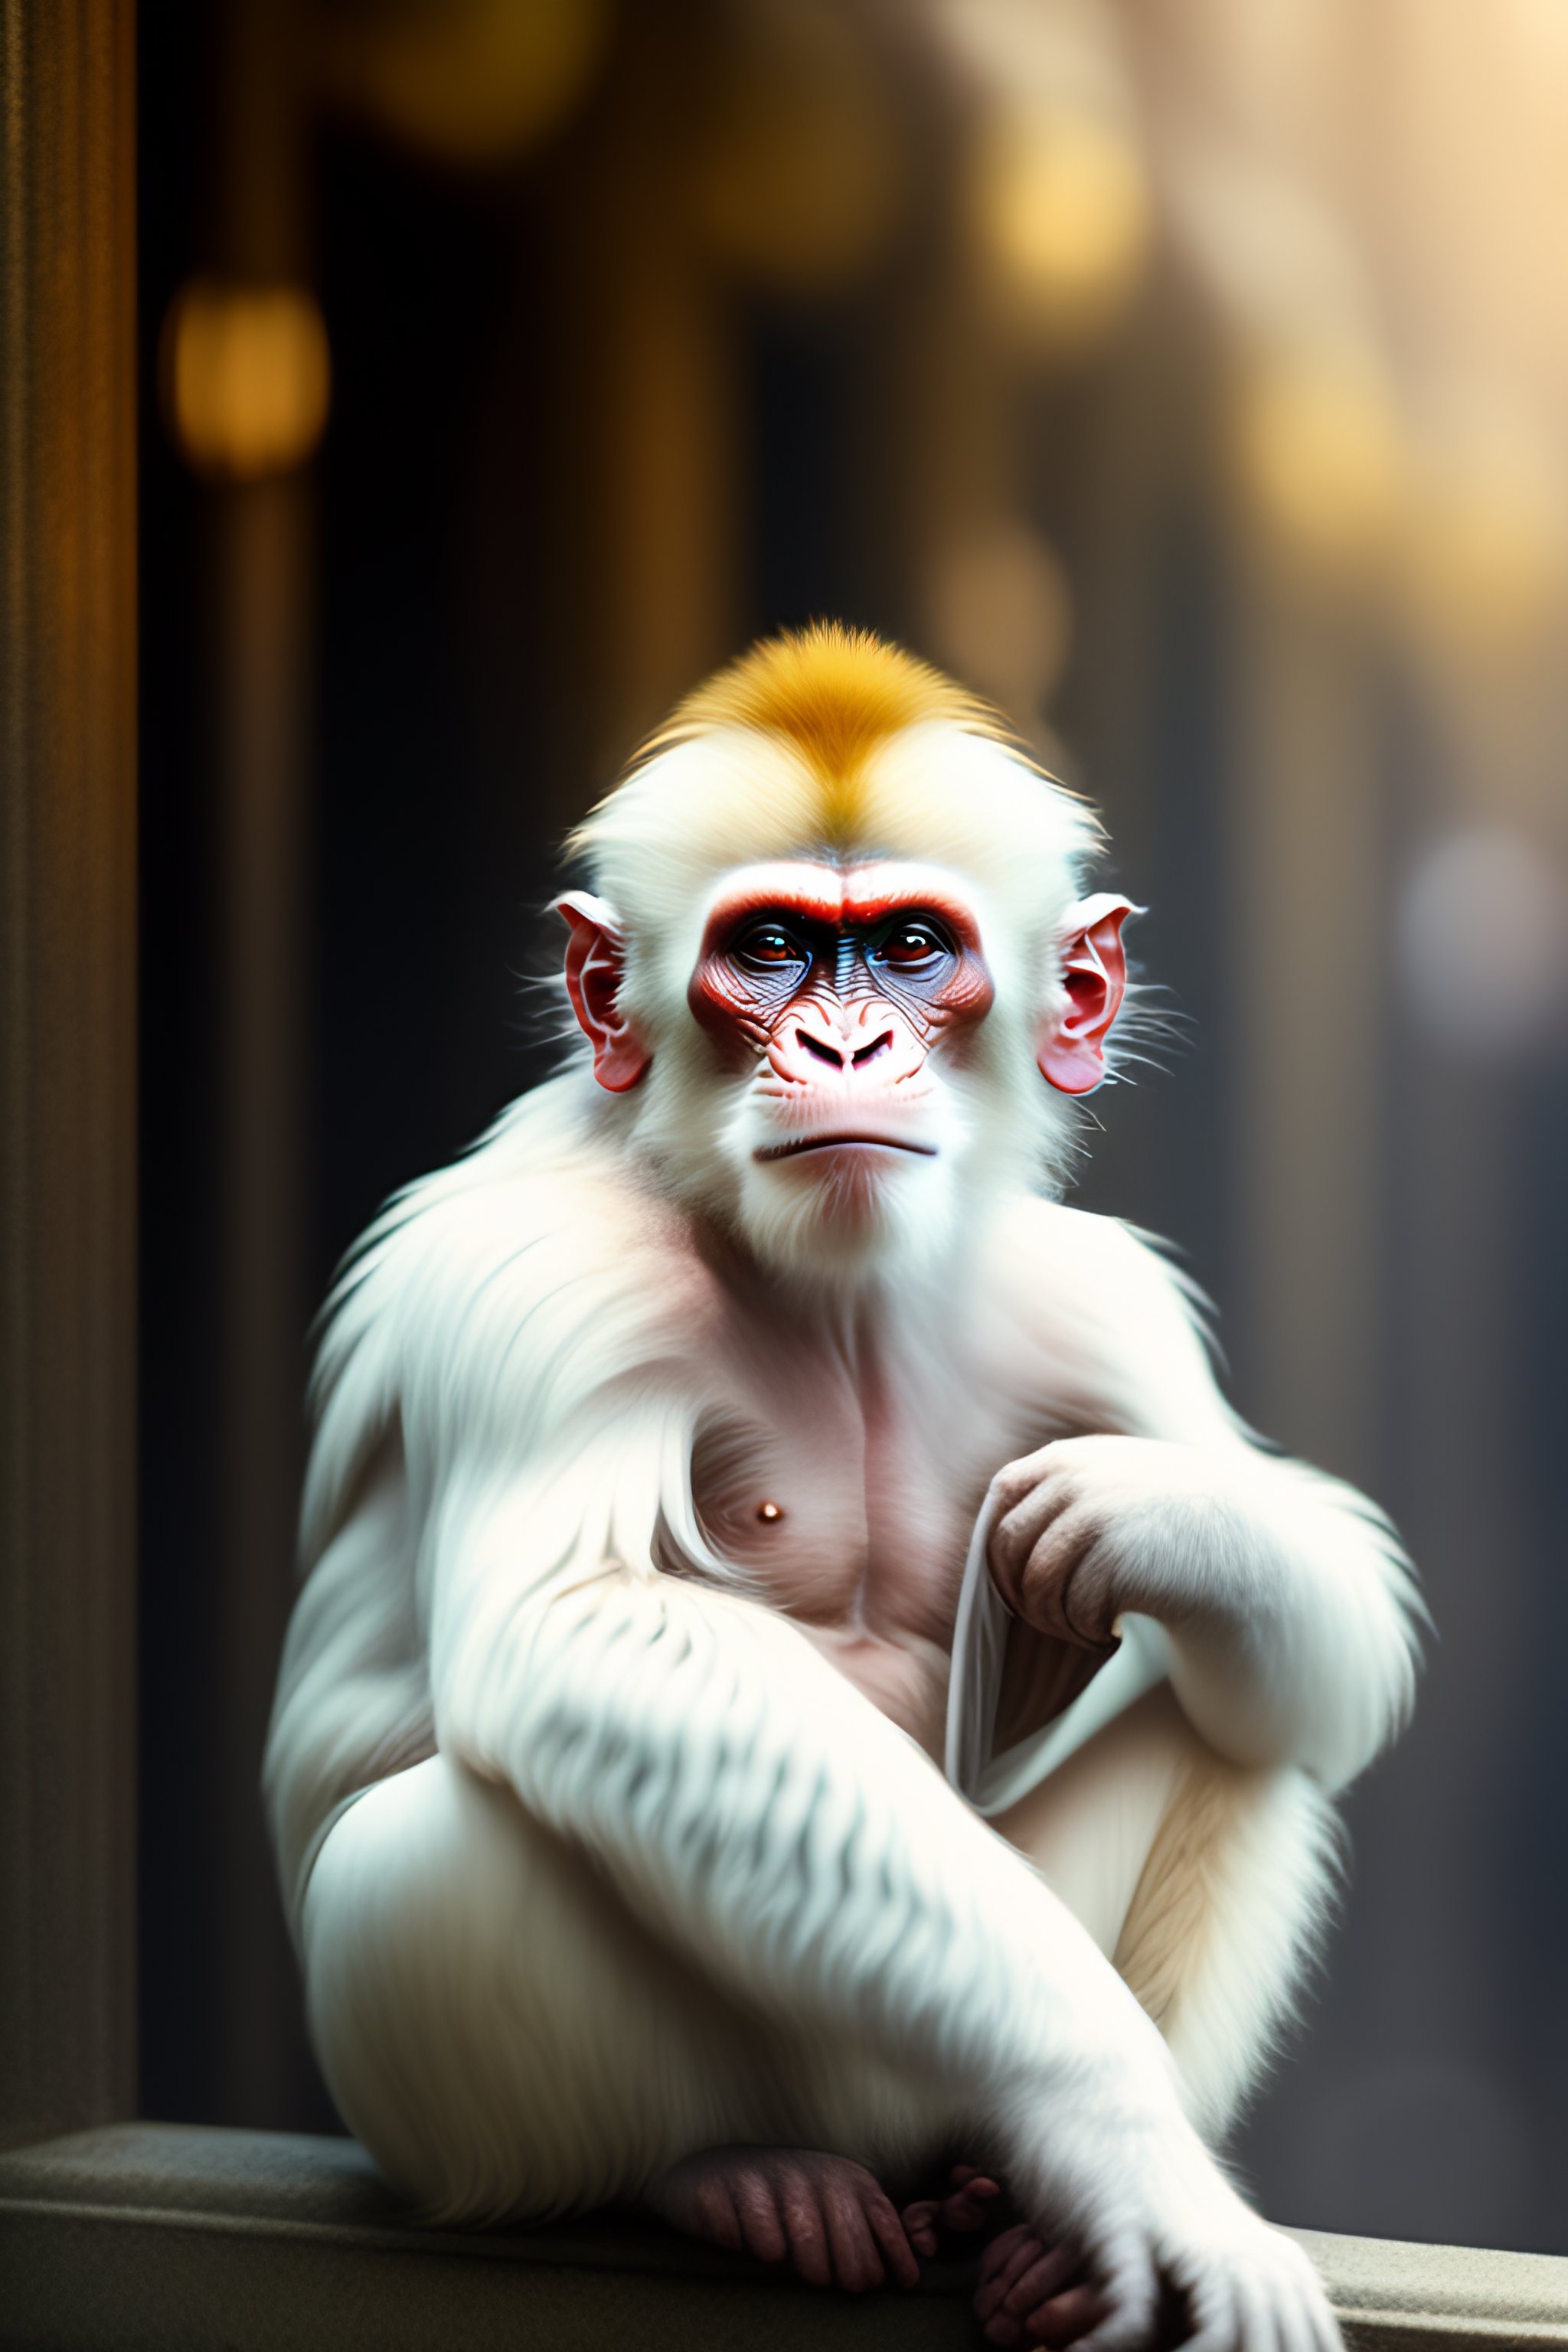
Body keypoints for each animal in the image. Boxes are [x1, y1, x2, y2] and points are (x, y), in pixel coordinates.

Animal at [264, 623, 1417, 2350]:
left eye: (914, 948)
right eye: (772, 951)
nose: (847, 1045)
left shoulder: (1101, 1299)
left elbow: (1327, 1627)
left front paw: (1167, 1521)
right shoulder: (544, 1271)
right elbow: (577, 1628)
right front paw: (1116, 2125)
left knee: (1242, 1735)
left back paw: (1009, 2223)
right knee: (446, 1844)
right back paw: (732, 2179)